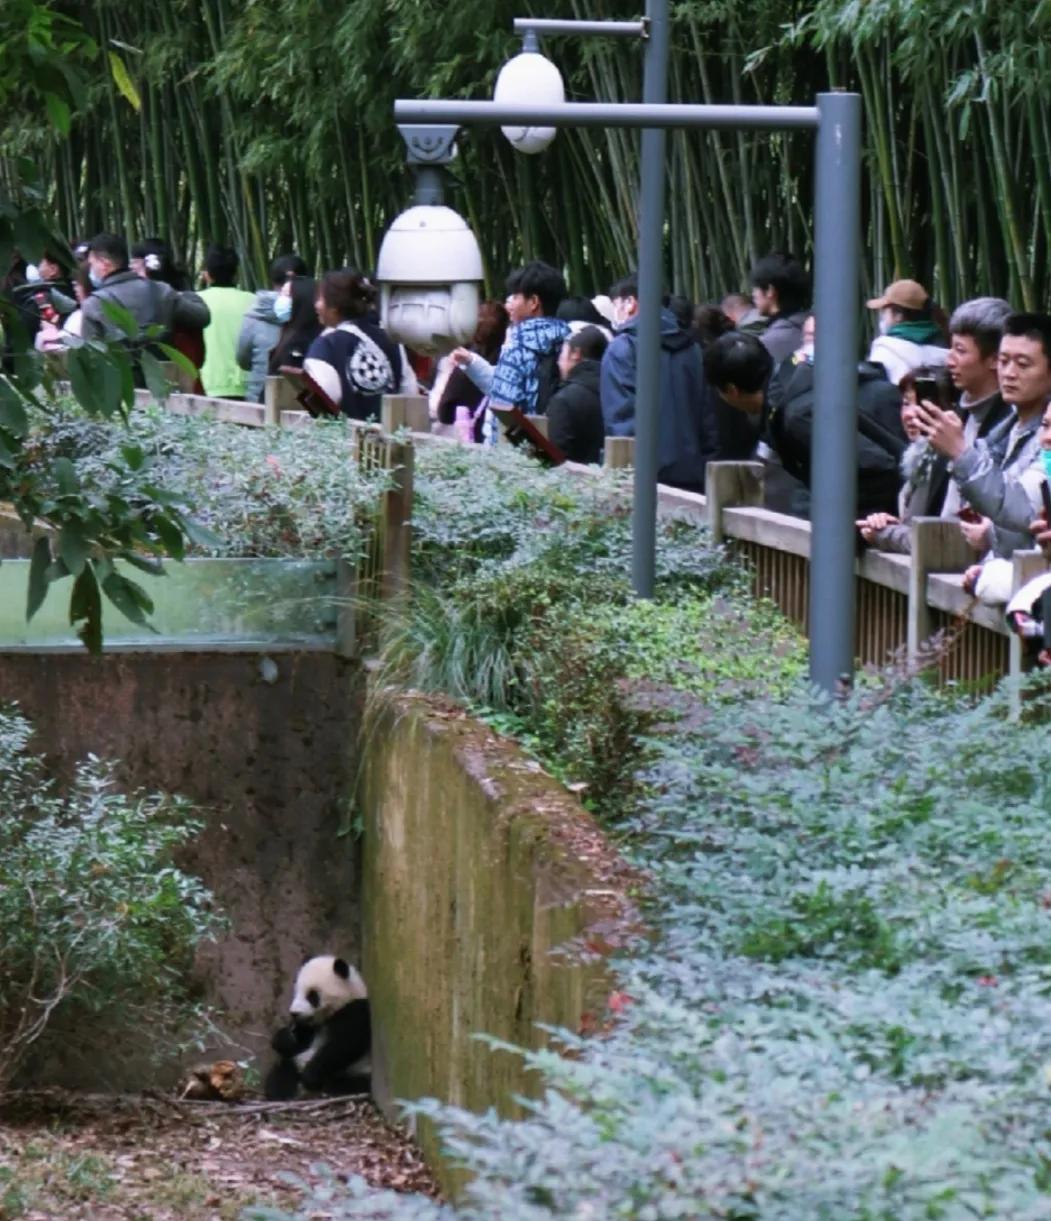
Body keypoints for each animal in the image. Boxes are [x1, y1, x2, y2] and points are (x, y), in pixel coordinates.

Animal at [263, 955, 371, 1101]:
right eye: (296, 992)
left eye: (312, 996)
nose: (294, 1013)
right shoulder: (308, 1027)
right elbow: (297, 1043)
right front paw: (285, 1038)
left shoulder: (355, 1012)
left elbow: (344, 1045)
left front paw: (310, 1076)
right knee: (282, 1071)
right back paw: (282, 1092)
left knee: (352, 1084)